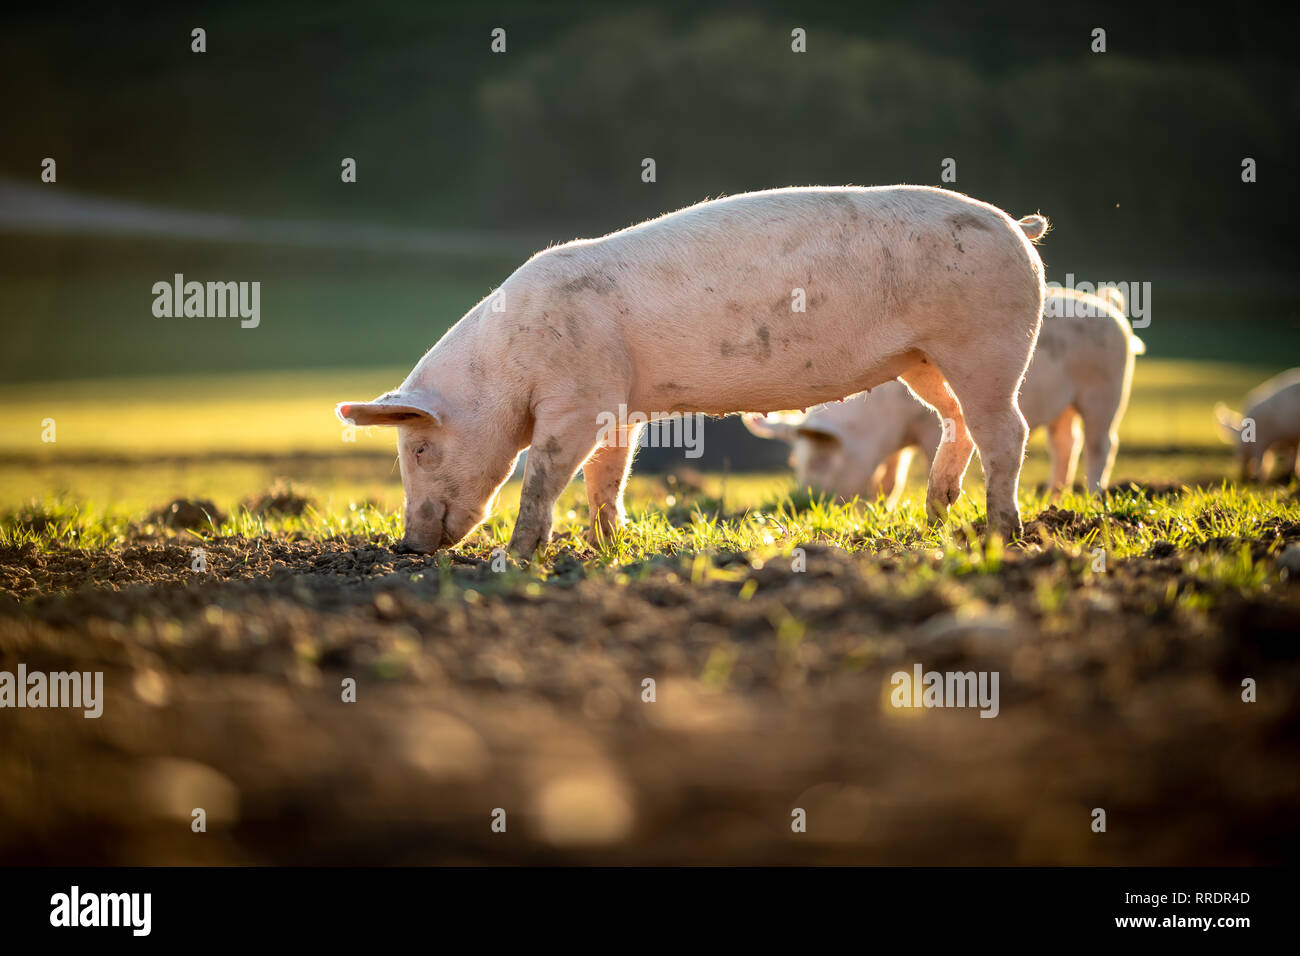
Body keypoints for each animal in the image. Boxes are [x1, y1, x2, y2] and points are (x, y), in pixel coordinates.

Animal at [336, 185, 1048, 555]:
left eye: (419, 448)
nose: (407, 546)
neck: (504, 365)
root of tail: (1018, 226)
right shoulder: (619, 406)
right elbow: (607, 477)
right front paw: (605, 546)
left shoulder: (578, 399)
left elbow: (543, 474)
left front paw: (516, 558)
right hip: (926, 360)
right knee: (956, 422)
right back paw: (936, 517)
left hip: (987, 343)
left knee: (1007, 431)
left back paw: (1003, 533)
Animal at [743, 287, 1145, 502]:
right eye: (795, 461)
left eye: (820, 461)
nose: (805, 502)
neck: (878, 424)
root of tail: (1110, 307)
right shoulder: (896, 442)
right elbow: (890, 478)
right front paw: (882, 507)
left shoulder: (922, 429)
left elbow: (920, 464)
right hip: (1066, 406)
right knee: (1066, 443)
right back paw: (1053, 497)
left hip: (1106, 390)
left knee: (1101, 444)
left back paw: (1094, 496)